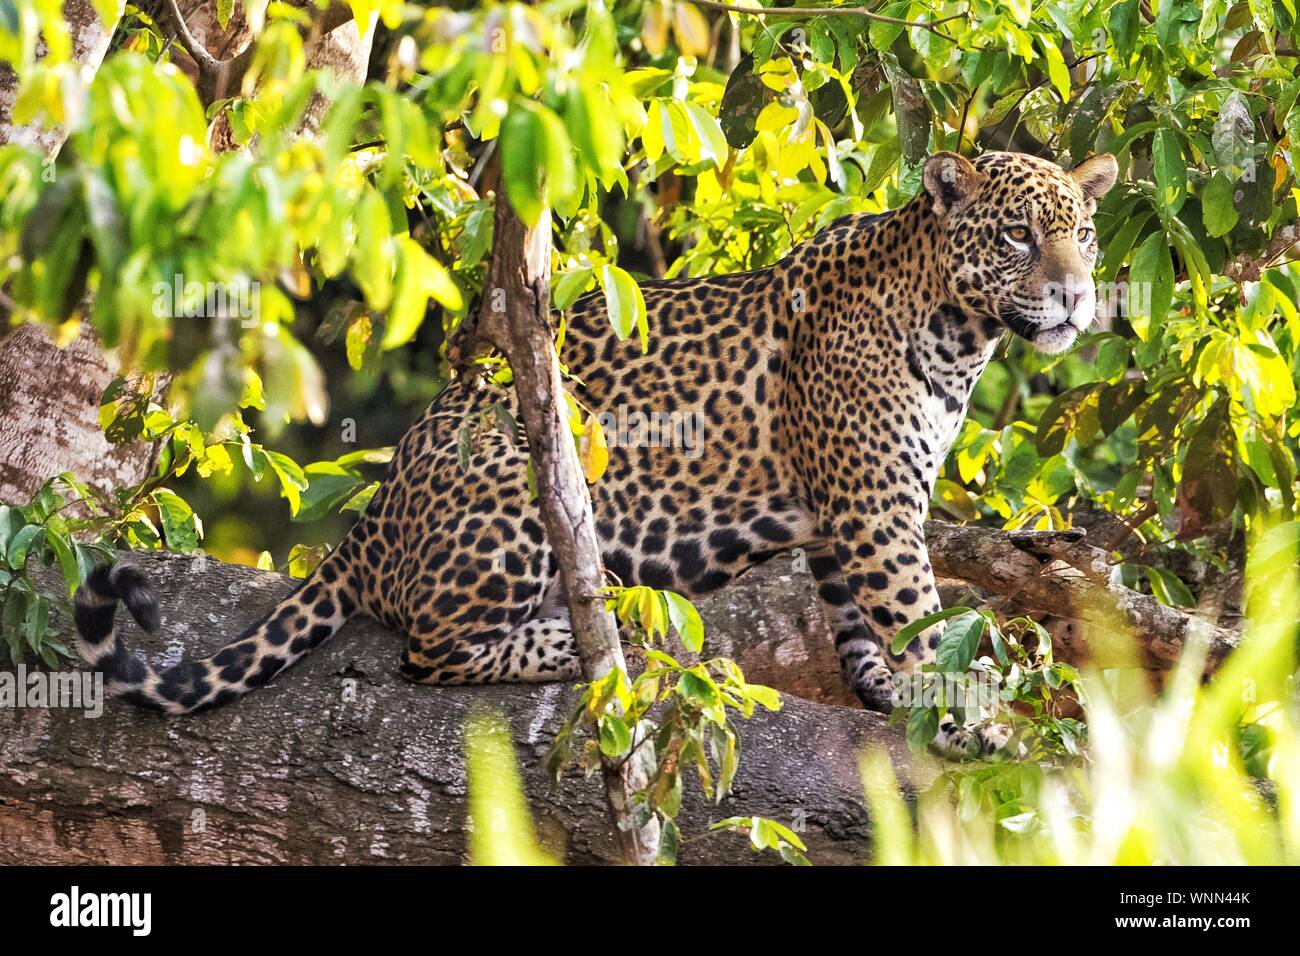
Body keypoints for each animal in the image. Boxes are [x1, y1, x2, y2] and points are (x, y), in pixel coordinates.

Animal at [74, 149, 1119, 756]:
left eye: (1086, 235)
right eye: (1019, 236)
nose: (1075, 297)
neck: (960, 329)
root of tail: (368, 530)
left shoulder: (841, 514)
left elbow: (863, 625)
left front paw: (887, 693)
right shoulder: (875, 503)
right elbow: (918, 613)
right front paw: (966, 712)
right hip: (517, 478)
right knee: (430, 650)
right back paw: (603, 629)